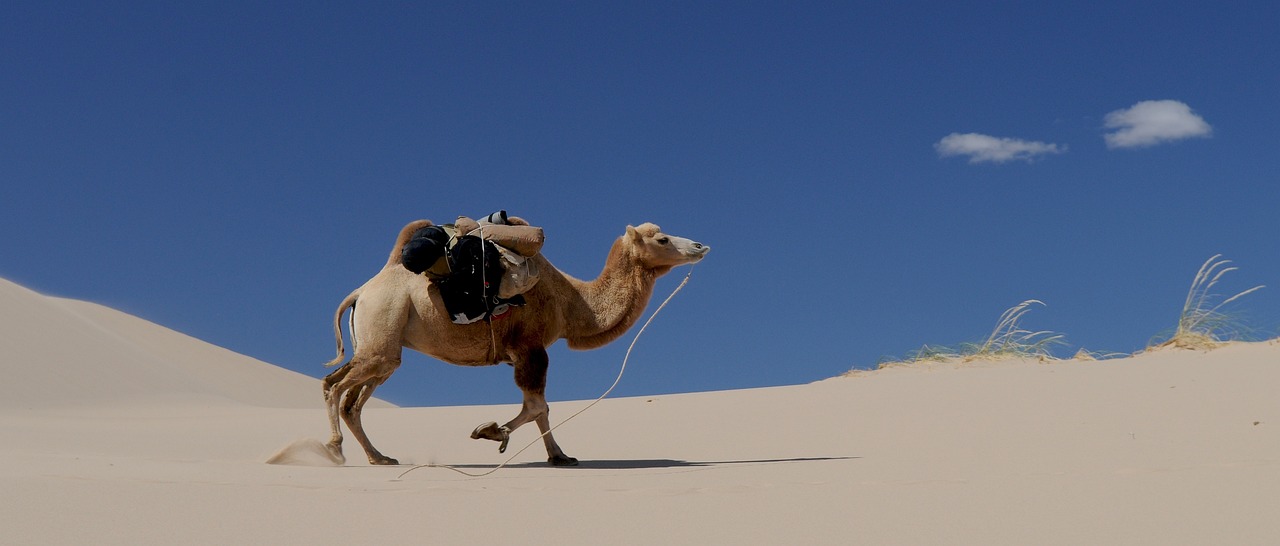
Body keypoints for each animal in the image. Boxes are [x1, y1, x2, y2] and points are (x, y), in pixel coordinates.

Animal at [321, 220, 710, 466]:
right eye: (661, 240)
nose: (700, 245)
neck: (572, 302)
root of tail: (361, 291)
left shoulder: (528, 352)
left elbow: (542, 409)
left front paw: (560, 457)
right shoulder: (530, 348)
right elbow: (537, 407)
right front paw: (491, 432)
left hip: (384, 348)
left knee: (351, 400)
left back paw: (379, 457)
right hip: (382, 327)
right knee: (334, 386)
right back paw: (335, 449)